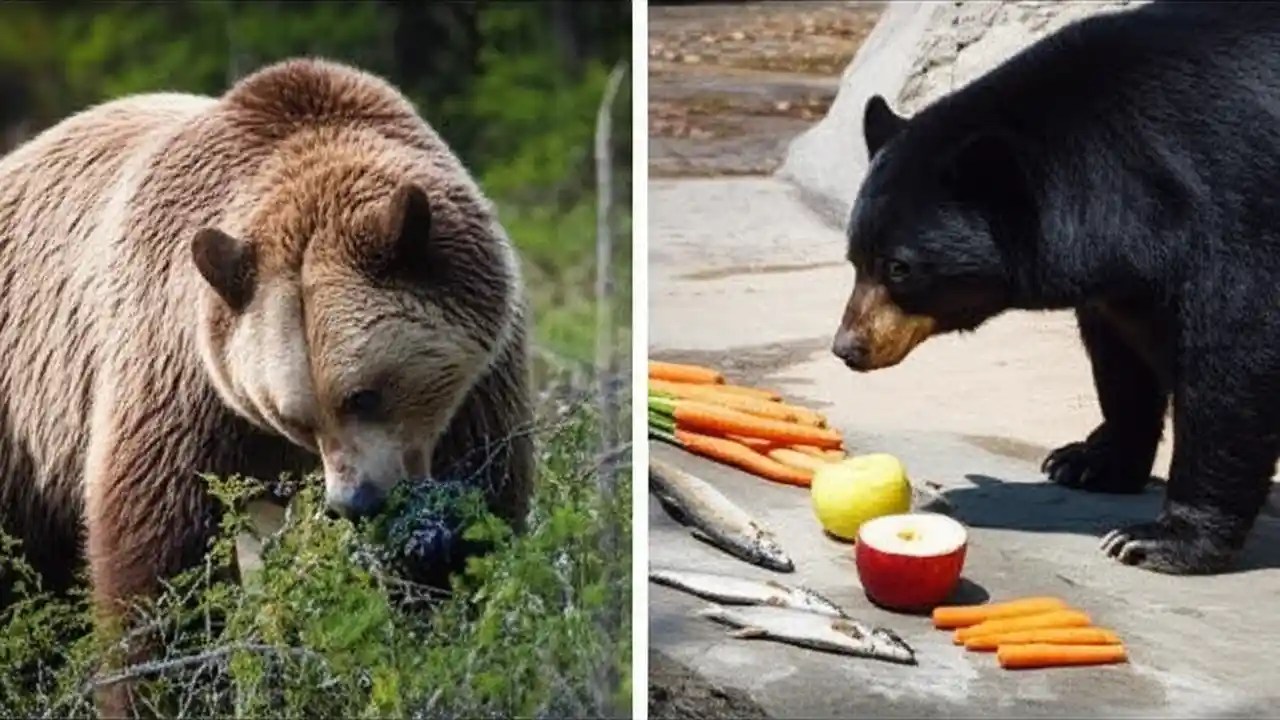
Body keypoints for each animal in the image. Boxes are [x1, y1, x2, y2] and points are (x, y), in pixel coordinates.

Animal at [0, 57, 533, 715]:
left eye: (365, 394)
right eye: (296, 415)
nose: (354, 502)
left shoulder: (476, 386)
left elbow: (479, 505)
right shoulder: (182, 378)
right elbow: (160, 556)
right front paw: (163, 686)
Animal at [830, 2, 1280, 577]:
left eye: (899, 268)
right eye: (856, 259)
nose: (848, 347)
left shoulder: (1235, 212)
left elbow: (1237, 353)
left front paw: (1158, 538)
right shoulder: (1129, 272)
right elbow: (1120, 355)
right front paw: (1089, 460)